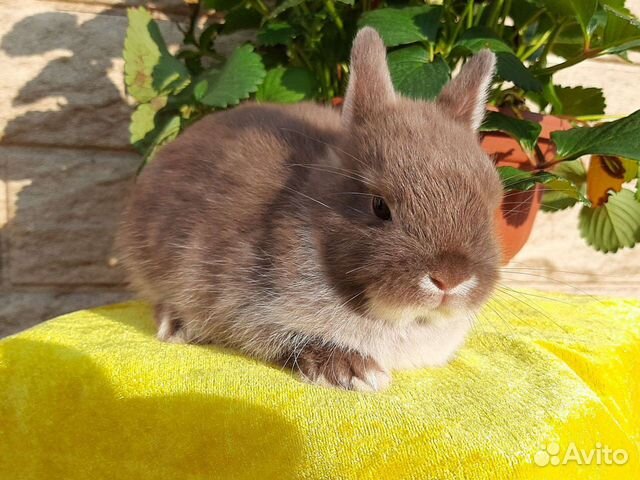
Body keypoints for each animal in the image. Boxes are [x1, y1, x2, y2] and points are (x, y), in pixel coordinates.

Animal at [117, 27, 503, 392]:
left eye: (489, 207)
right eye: (379, 206)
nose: (450, 278)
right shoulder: (248, 307)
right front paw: (356, 373)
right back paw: (178, 326)